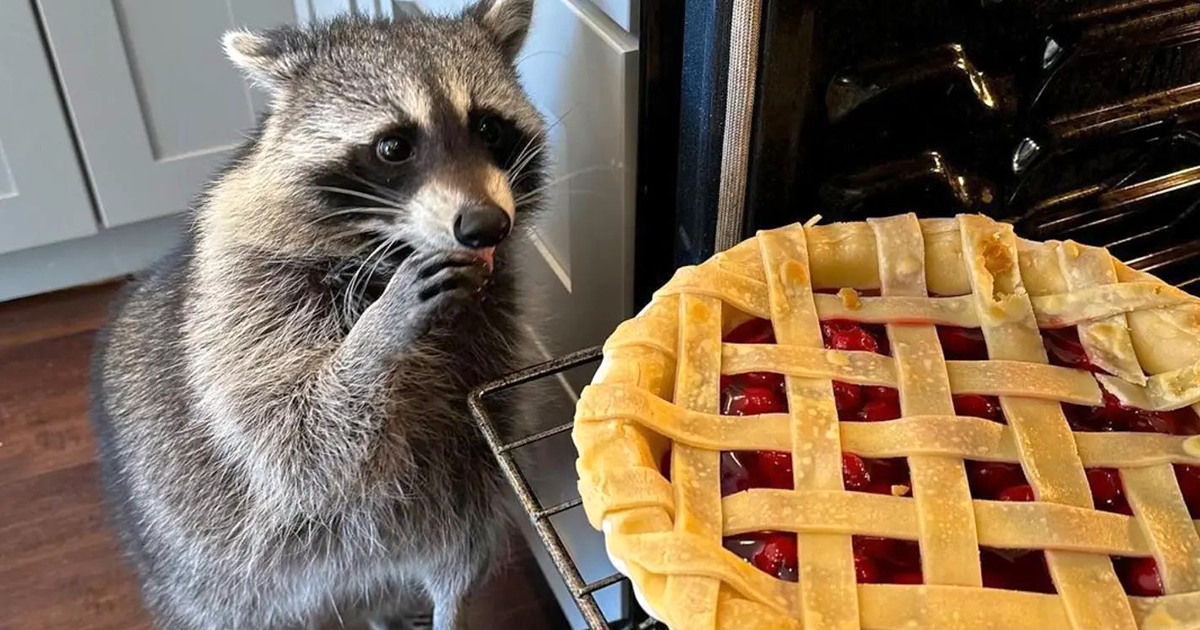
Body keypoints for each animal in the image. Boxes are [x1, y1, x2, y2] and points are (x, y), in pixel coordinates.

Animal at [88, 3, 546, 629]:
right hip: (199, 577)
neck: (388, 244)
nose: (485, 226)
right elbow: (292, 440)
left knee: (460, 544)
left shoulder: (495, 313)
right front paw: (376, 338)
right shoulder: (241, 298)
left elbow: (484, 422)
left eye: (488, 129)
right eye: (393, 147)